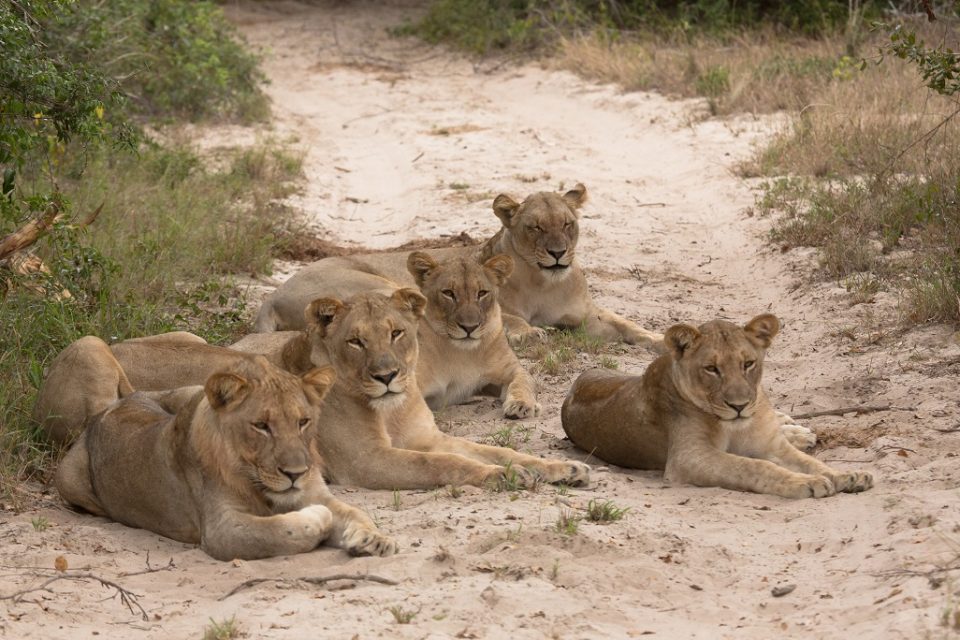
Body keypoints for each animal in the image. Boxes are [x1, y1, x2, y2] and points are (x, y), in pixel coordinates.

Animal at [55, 355, 397, 560]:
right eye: (261, 426)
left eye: (303, 422)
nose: (295, 473)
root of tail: (112, 407)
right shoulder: (222, 530)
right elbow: (279, 531)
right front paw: (317, 518)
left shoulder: (316, 492)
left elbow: (355, 512)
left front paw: (373, 538)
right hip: (67, 477)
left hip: (191, 390)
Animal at [560, 313, 872, 499]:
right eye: (711, 369)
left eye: (748, 363)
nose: (740, 406)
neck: (737, 427)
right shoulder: (688, 458)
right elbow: (754, 466)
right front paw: (804, 483)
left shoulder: (771, 445)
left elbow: (811, 462)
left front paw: (847, 475)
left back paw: (801, 432)